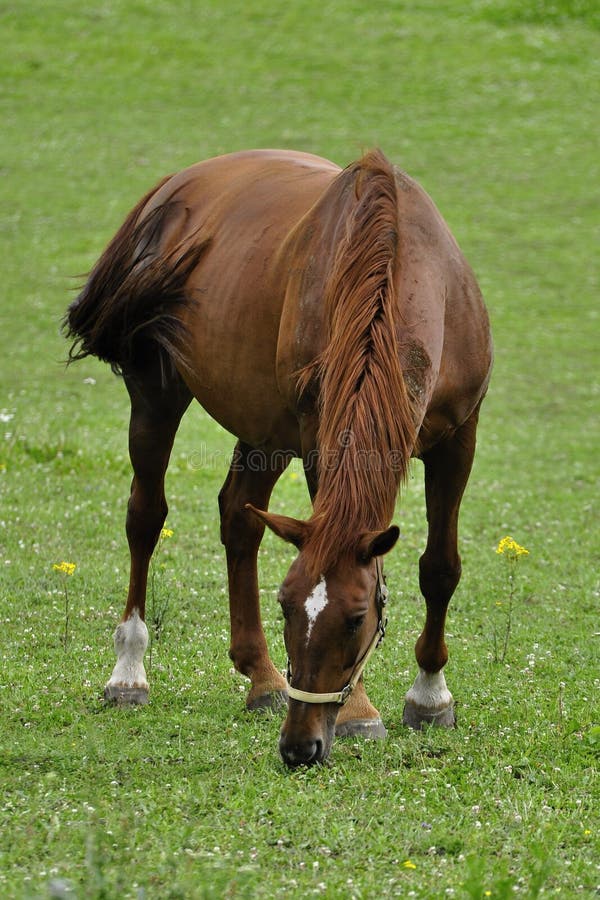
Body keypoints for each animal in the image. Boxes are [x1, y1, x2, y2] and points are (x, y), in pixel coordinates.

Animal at [65, 148, 492, 768]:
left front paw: (430, 695)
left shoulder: (460, 439)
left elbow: (439, 569)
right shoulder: (318, 436)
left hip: (265, 430)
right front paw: (362, 711)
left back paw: (262, 678)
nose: (299, 746)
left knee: (238, 517)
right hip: (157, 394)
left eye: (357, 619)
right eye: (286, 606)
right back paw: (129, 670)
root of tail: (171, 188)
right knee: (144, 518)